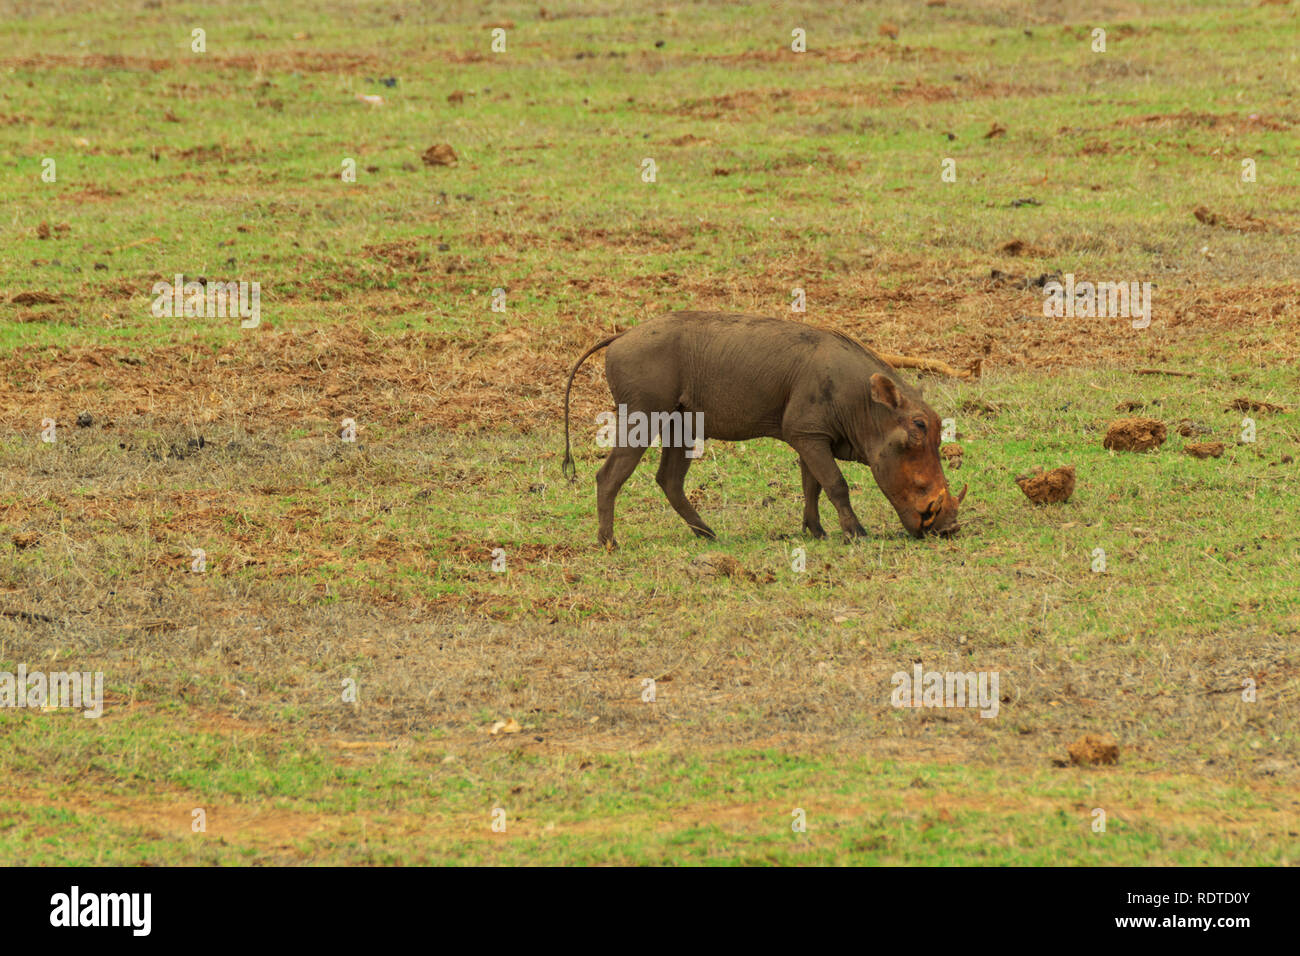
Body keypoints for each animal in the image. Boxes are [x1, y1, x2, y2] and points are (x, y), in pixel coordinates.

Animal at [562, 312, 965, 548]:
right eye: (918, 425)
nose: (949, 528)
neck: (859, 401)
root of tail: (620, 336)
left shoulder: (808, 439)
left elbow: (813, 486)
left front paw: (816, 532)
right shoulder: (808, 435)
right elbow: (836, 484)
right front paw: (856, 535)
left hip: (682, 427)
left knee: (668, 480)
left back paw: (709, 535)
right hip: (641, 417)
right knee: (608, 476)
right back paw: (609, 543)